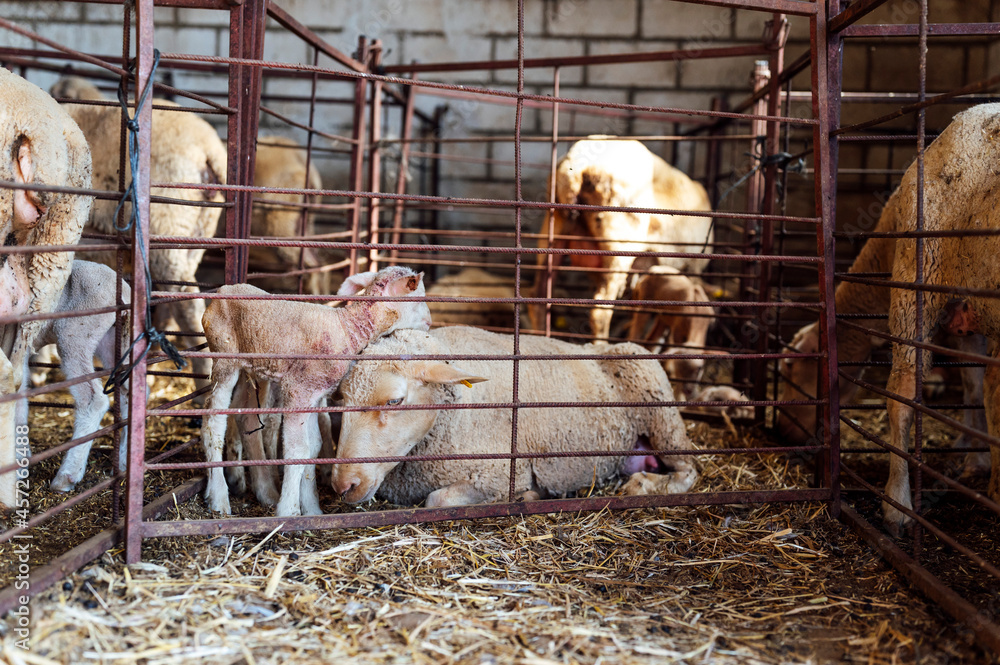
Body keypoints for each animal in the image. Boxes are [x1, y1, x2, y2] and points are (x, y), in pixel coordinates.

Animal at [22, 261, 131, 492]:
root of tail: (121, 289)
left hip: (75, 333)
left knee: (93, 399)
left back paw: (67, 475)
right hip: (113, 339)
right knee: (129, 390)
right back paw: (124, 461)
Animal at [200, 266, 432, 517]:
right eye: (419, 297)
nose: (430, 322)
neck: (347, 329)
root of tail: (223, 290)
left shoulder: (314, 394)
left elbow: (313, 447)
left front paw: (312, 510)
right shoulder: (298, 390)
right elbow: (297, 451)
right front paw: (289, 510)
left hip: (250, 369)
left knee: (245, 418)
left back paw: (262, 490)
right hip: (224, 356)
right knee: (213, 421)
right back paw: (219, 498)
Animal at [332, 325, 699, 507]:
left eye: (395, 400)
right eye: (341, 399)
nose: (342, 485)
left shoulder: (499, 473)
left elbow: (436, 500)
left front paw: (527, 495)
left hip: (660, 415)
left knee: (689, 469)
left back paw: (642, 484)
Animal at [866, 103, 1000, 534]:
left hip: (971, 301)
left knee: (978, 385)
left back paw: (978, 462)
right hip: (918, 275)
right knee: (903, 392)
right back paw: (897, 505)